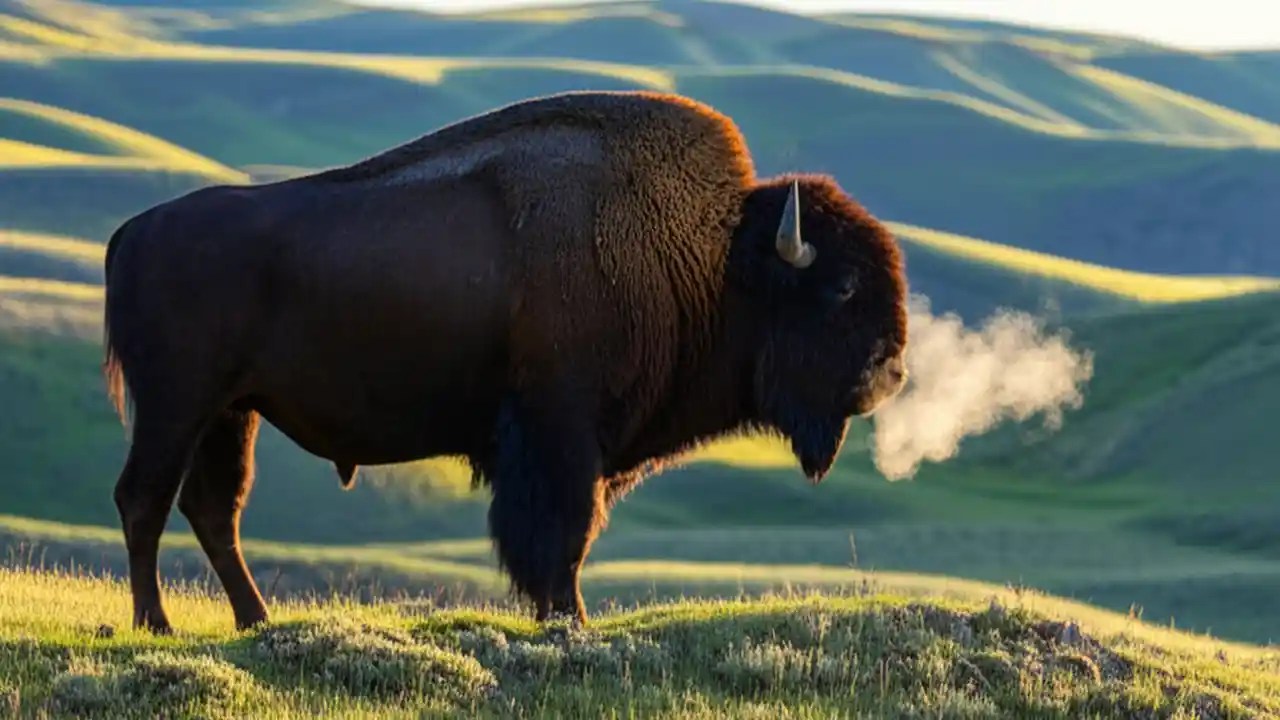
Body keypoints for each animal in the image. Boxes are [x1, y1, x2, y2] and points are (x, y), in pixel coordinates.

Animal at [102, 90, 909, 633]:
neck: (711, 260)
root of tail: (131, 234)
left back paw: (257, 620)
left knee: (214, 509)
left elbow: (566, 537)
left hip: (230, 413)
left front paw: (562, 618)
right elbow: (563, 534)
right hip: (177, 406)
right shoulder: (561, 436)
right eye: (842, 286)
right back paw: (157, 623)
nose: (893, 370)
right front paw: (569, 621)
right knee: (144, 498)